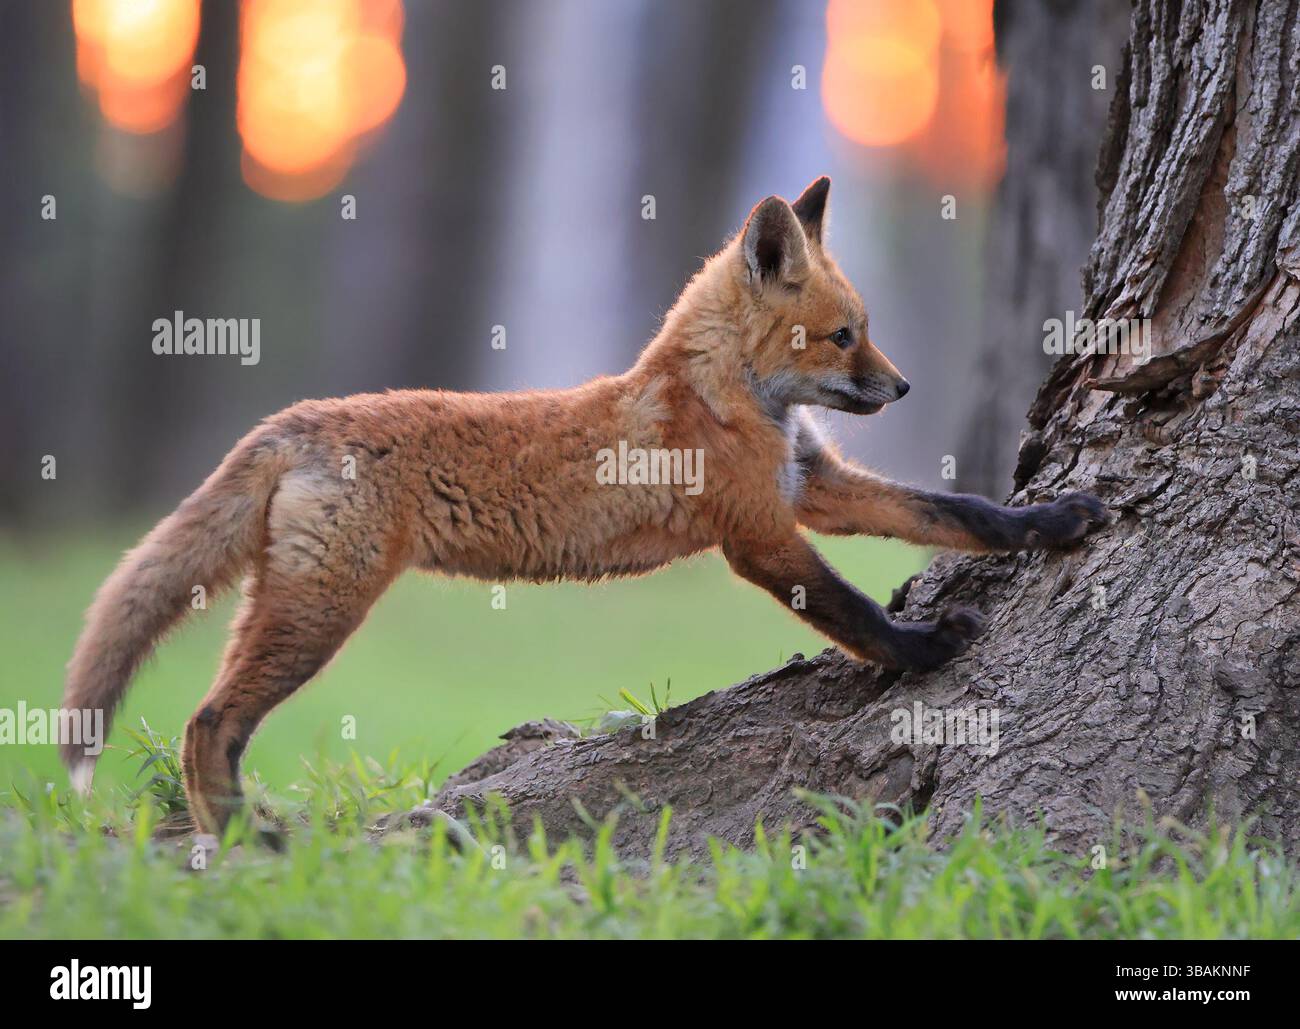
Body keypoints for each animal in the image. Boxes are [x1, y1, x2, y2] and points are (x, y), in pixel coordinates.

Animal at [61, 177, 1109, 836]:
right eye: (845, 336)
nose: (900, 387)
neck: (730, 397)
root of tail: (295, 419)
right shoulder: (759, 533)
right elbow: (856, 613)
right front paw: (926, 649)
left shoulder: (814, 486)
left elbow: (955, 510)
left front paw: (1052, 522)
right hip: (318, 612)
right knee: (207, 724)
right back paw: (251, 844)